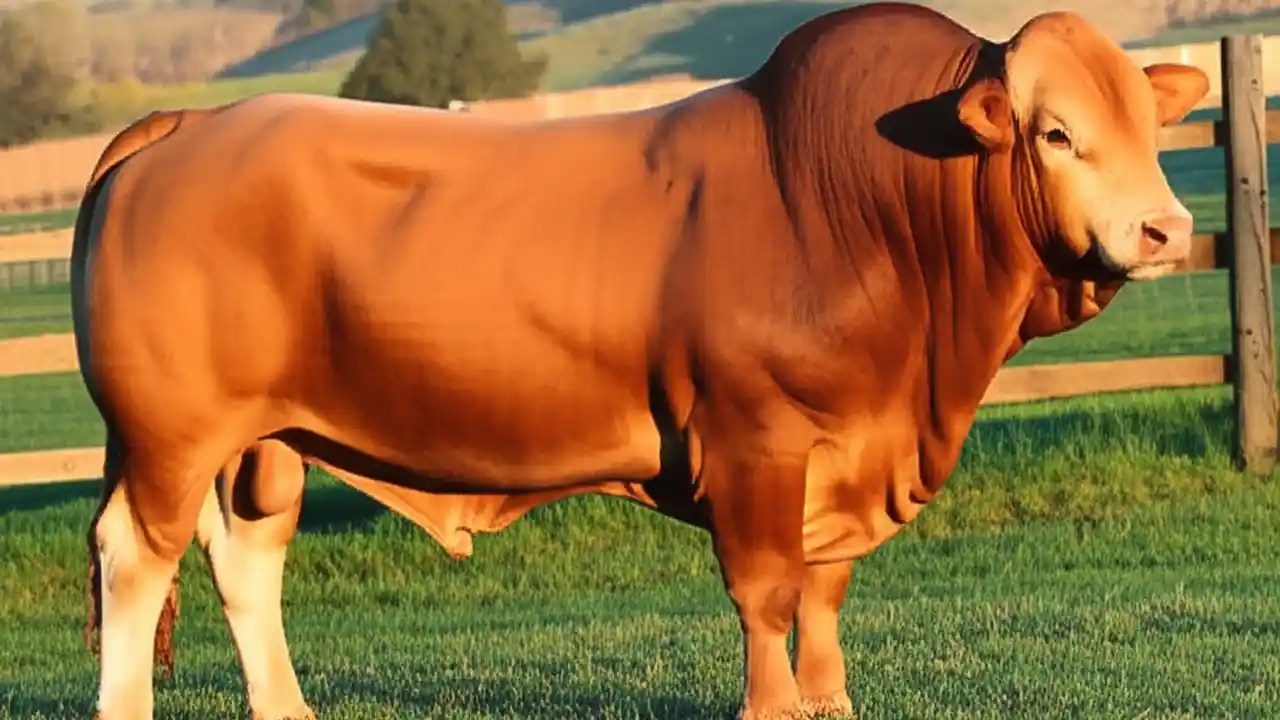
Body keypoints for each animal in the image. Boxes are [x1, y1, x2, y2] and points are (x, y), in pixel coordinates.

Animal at [72, 3, 1209, 719]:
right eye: (1054, 133)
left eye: (1151, 124)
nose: (1165, 228)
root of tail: (184, 124)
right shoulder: (756, 442)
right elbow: (768, 594)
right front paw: (774, 704)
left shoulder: (847, 454)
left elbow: (824, 593)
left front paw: (829, 697)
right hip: (170, 437)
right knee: (135, 559)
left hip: (263, 439)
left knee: (243, 558)